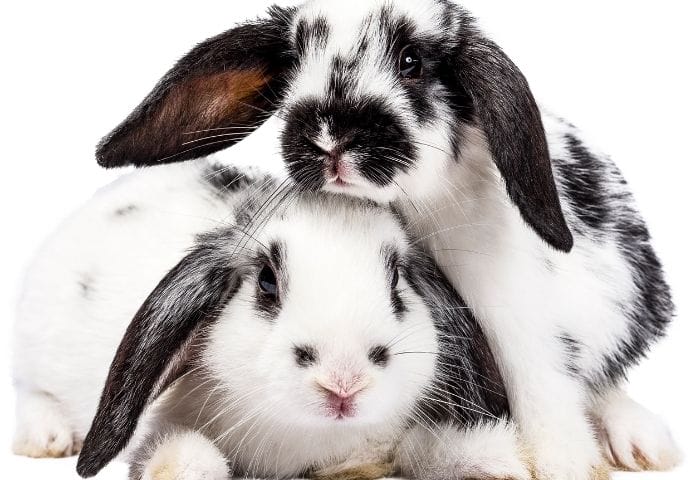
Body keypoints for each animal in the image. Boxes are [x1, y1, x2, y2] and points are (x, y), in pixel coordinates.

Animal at [12, 160, 530, 480]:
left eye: (396, 279)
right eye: (265, 282)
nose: (344, 382)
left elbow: (430, 447)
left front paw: (498, 463)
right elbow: (176, 452)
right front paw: (181, 468)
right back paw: (46, 438)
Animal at [88, 1, 682, 478]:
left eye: (411, 62)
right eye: (295, 60)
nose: (330, 136)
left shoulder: (523, 331)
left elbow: (548, 406)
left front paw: (557, 467)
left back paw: (642, 444)